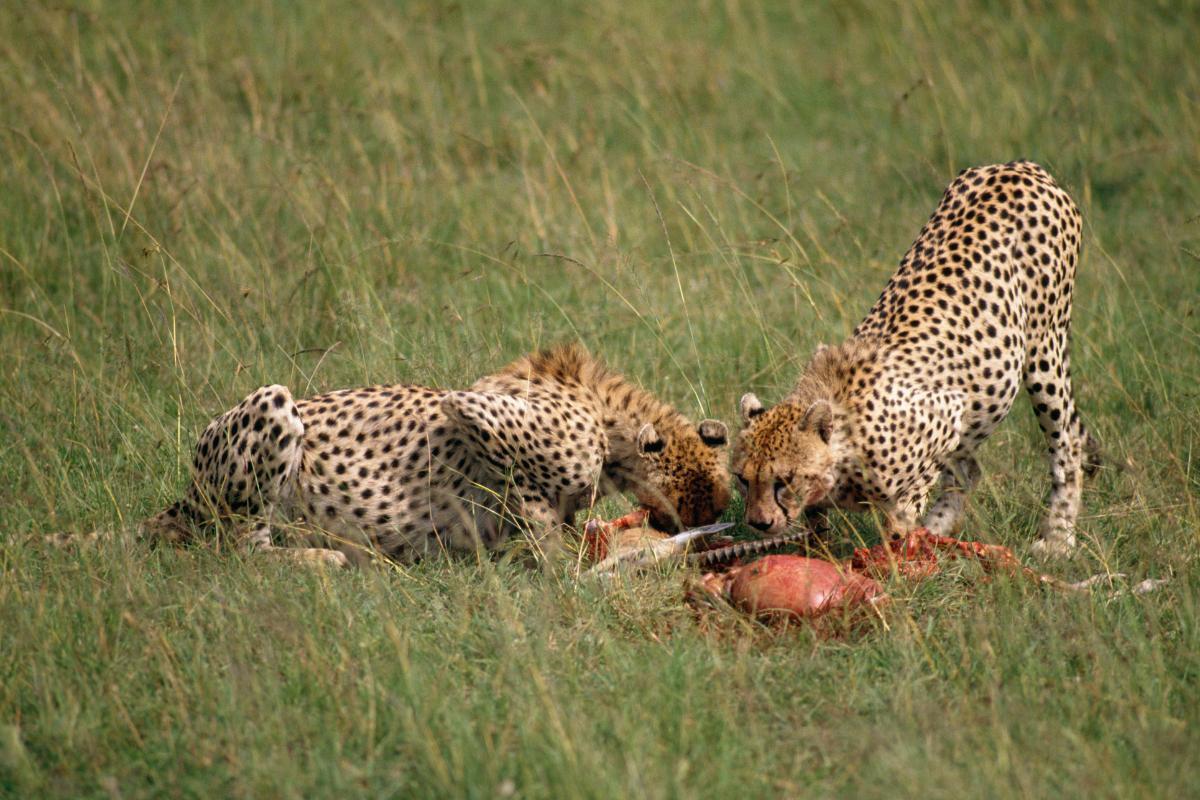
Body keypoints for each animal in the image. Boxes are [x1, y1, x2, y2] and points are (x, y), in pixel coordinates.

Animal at [141, 344, 731, 566]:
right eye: (698, 501)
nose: (704, 525)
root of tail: (183, 497)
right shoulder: (472, 409)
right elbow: (532, 509)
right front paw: (558, 567)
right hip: (273, 405)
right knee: (239, 550)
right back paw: (322, 559)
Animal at [732, 161, 1100, 557]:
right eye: (741, 479)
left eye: (784, 480)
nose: (758, 522)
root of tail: (1016, 166)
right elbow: (819, 526)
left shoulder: (948, 415)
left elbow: (902, 516)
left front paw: (897, 562)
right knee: (970, 470)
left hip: (1045, 345)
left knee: (1066, 446)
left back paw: (1058, 538)